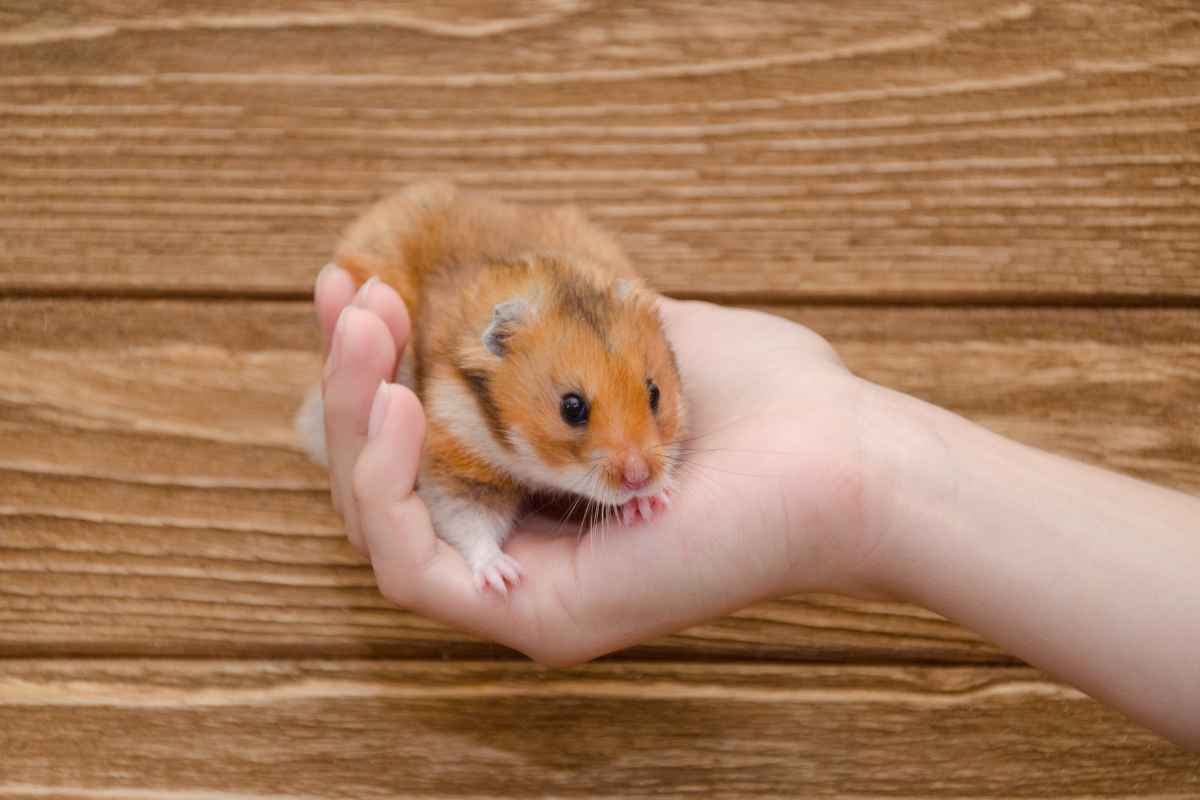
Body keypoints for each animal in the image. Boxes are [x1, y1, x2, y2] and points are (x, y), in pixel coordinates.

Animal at [296, 181, 686, 593]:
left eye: (655, 394)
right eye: (572, 407)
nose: (640, 479)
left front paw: (654, 501)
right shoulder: (455, 456)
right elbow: (468, 519)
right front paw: (504, 578)